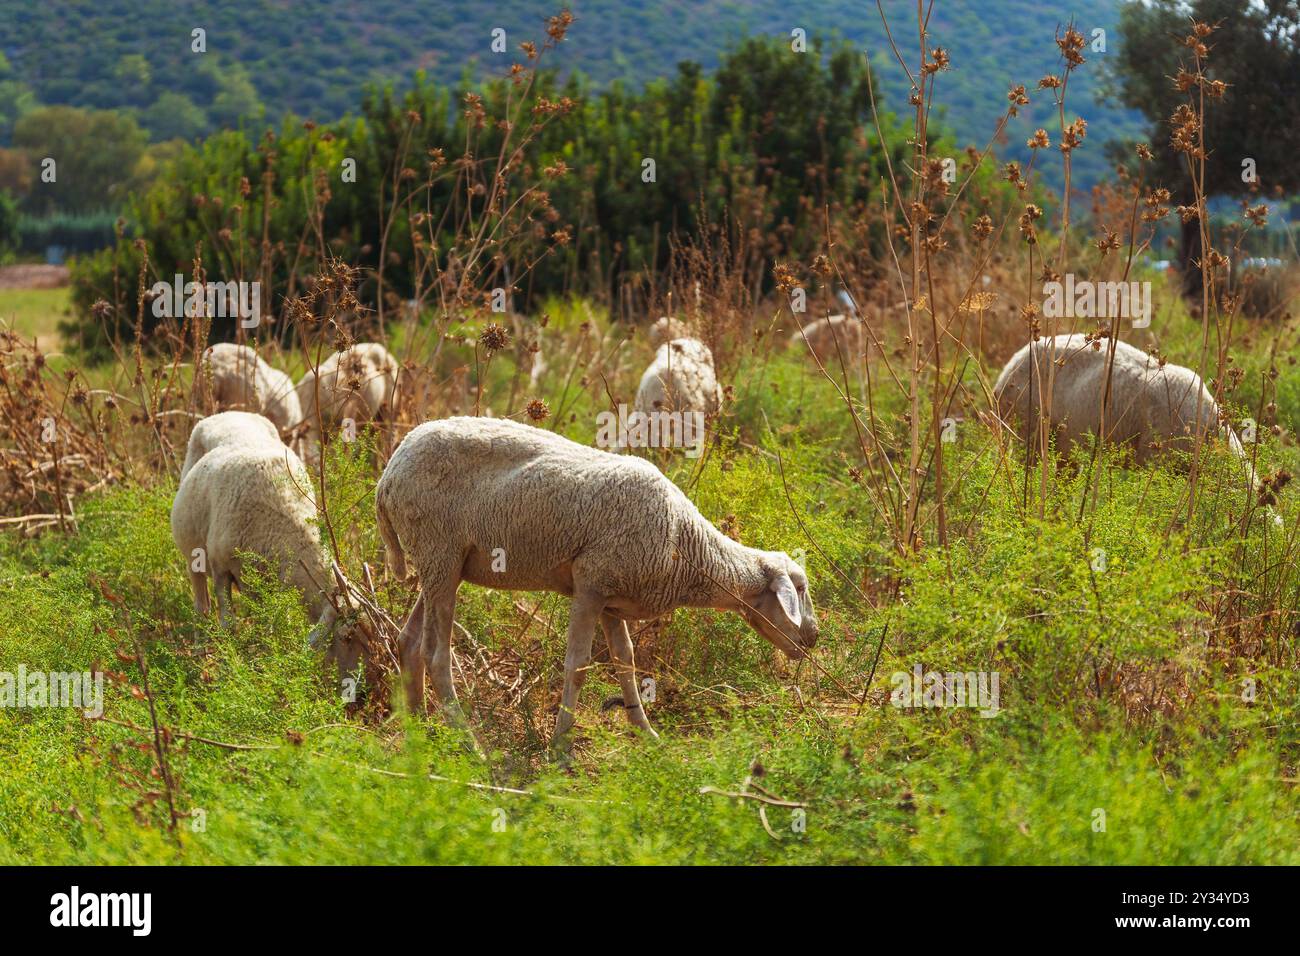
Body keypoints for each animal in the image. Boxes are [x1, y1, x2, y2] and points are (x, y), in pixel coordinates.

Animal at [375, 416, 818, 752]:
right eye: (799, 589)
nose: (813, 638)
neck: (686, 546)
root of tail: (388, 474)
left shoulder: (612, 599)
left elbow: (626, 661)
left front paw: (647, 733)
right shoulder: (590, 585)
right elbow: (578, 666)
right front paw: (560, 747)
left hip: (442, 566)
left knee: (409, 641)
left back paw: (421, 732)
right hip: (439, 551)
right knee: (436, 655)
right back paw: (469, 743)